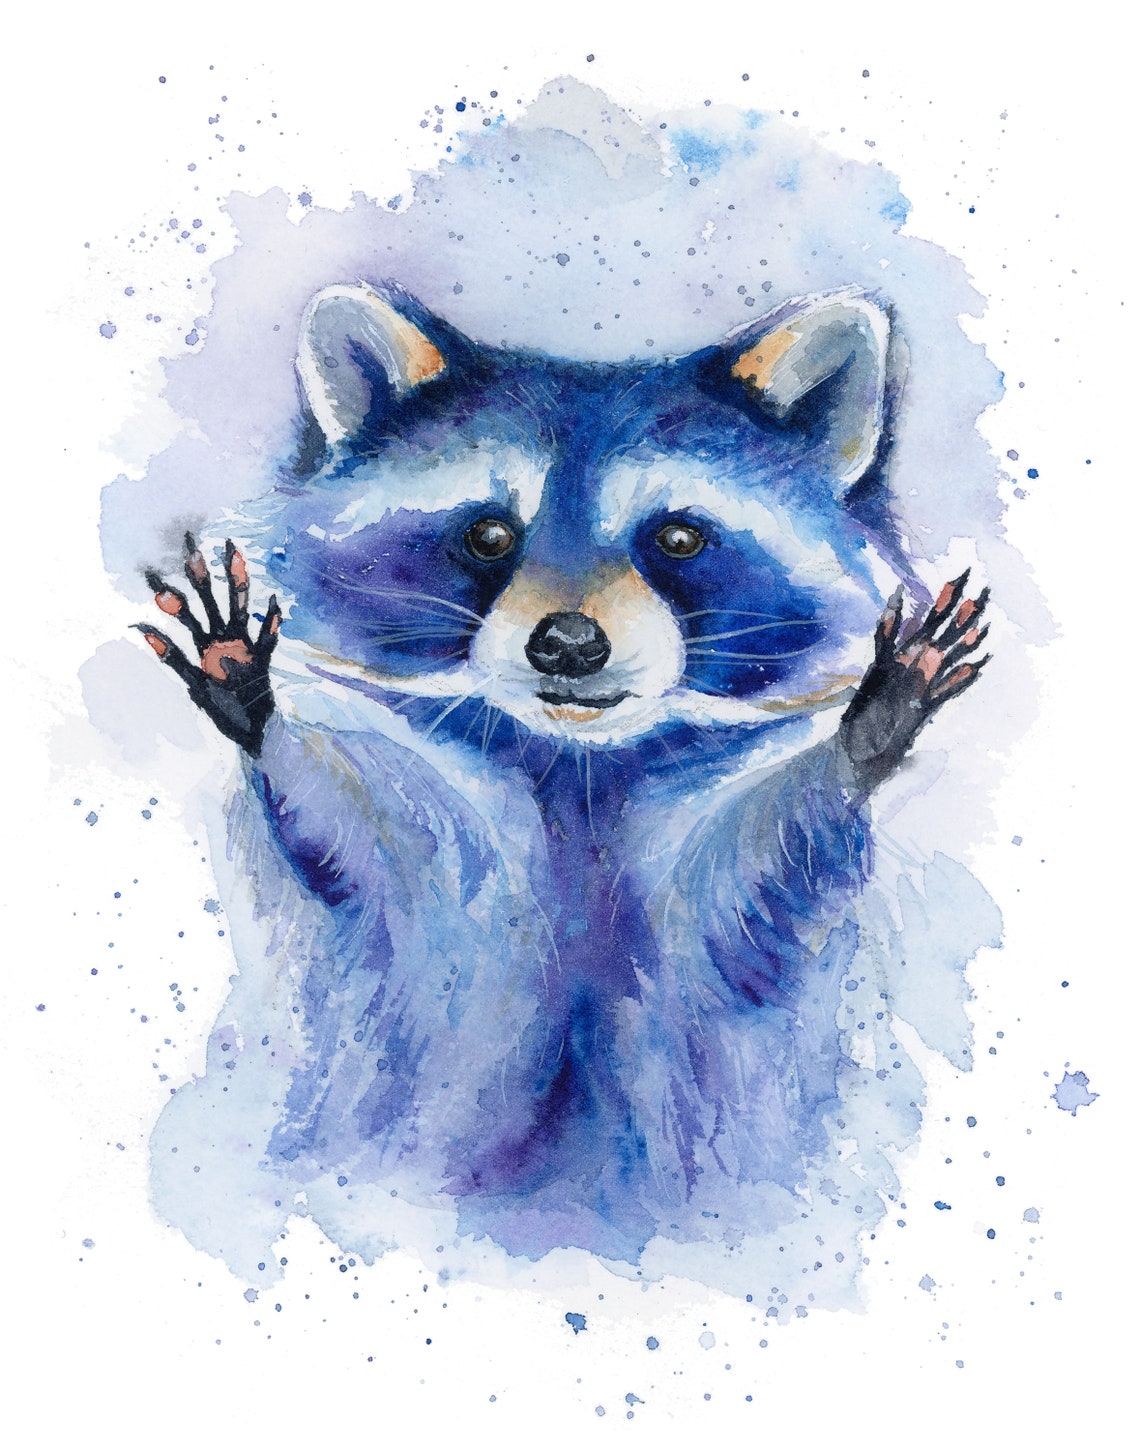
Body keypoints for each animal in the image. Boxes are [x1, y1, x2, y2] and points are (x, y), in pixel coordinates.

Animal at [138, 282, 989, 1264]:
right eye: (488, 533)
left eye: (679, 537)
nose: (570, 644)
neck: (576, 762)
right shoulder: (439, 843)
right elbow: (353, 841)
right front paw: (261, 709)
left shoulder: (702, 864)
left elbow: (761, 874)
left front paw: (866, 731)